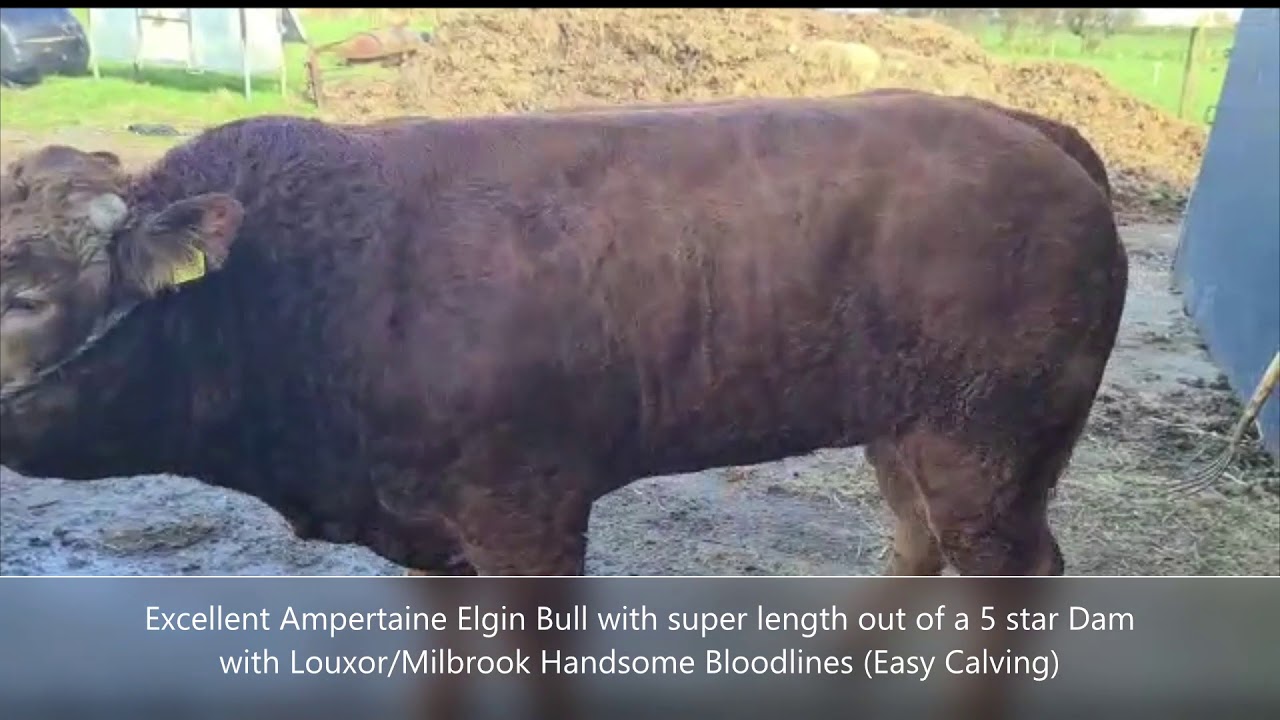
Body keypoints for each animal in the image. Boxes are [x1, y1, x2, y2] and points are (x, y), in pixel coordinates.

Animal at [0, 92, 1128, 576]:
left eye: (23, 294)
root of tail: (1029, 128)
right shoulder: (429, 538)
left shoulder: (528, 515)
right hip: (909, 435)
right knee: (914, 548)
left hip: (987, 451)